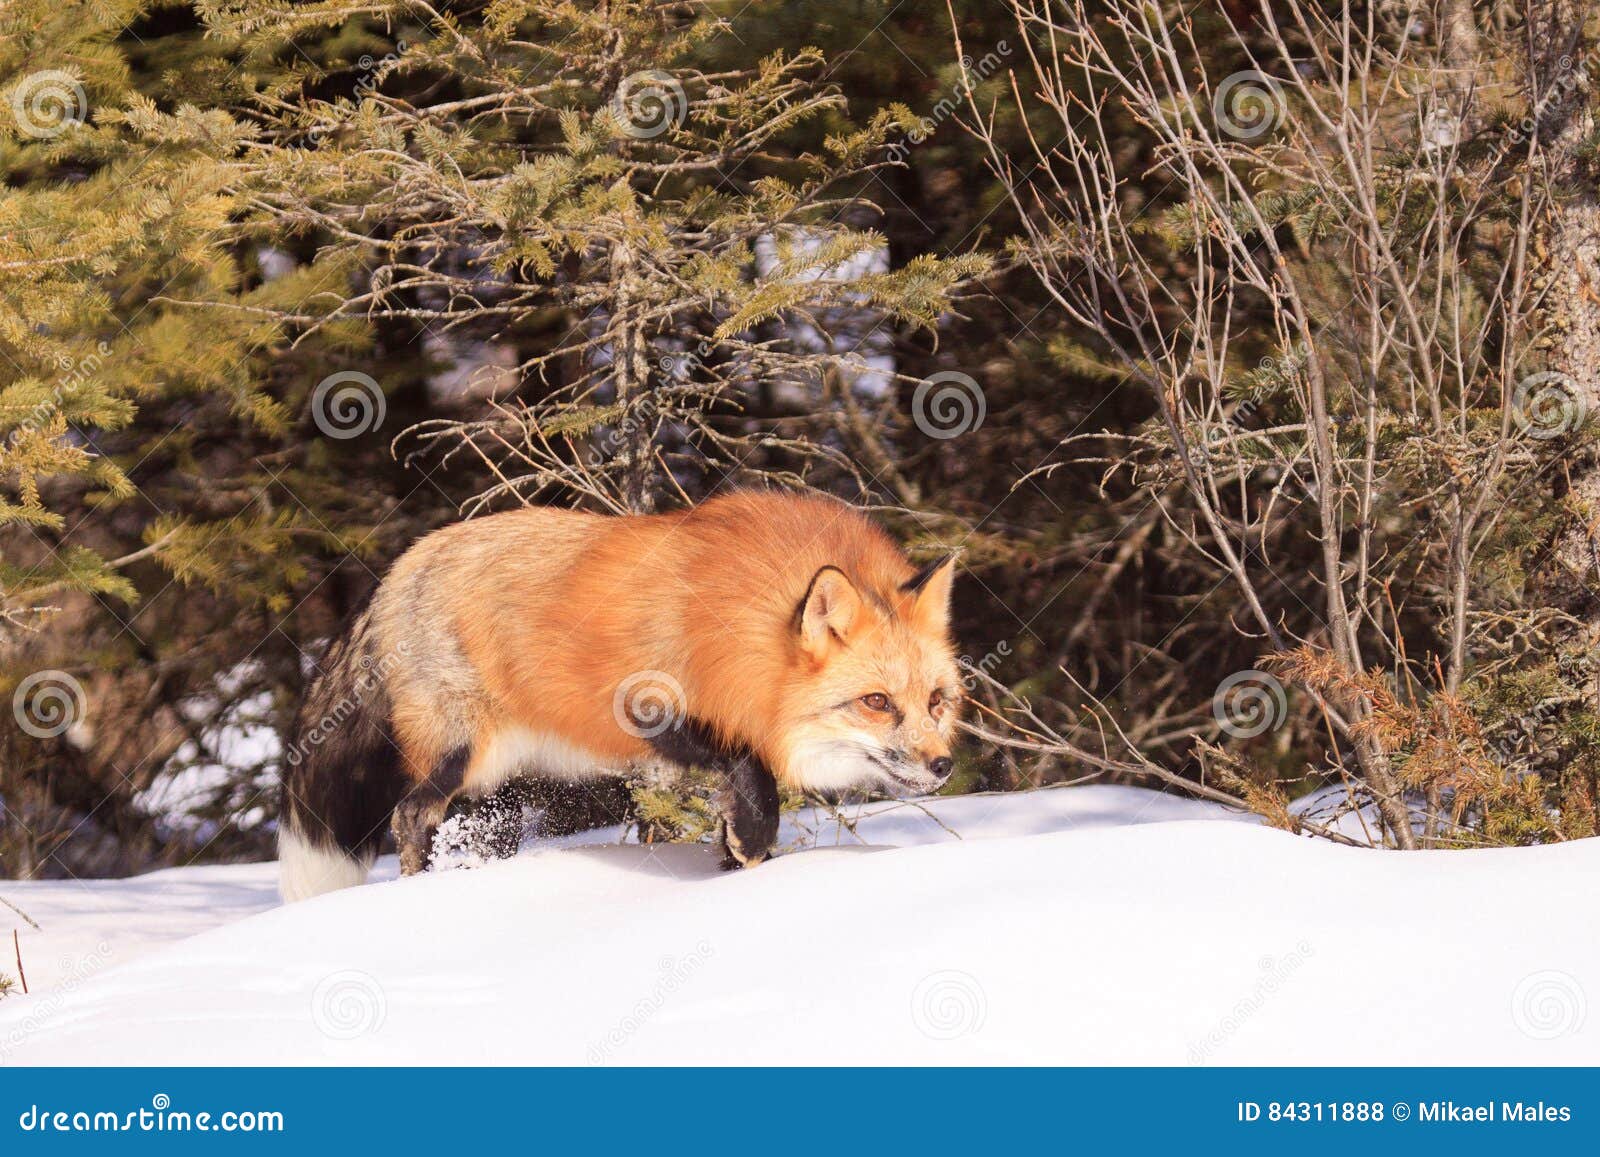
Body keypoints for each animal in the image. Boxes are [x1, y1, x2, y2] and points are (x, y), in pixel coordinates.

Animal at [278, 490, 963, 902]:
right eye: (877, 702)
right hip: (459, 753)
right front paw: (752, 847)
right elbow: (751, 775)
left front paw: (734, 868)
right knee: (408, 816)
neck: (743, 631)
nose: (943, 765)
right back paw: (418, 895)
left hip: (495, 790)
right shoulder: (648, 708)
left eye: (936, 701)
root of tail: (401, 566)